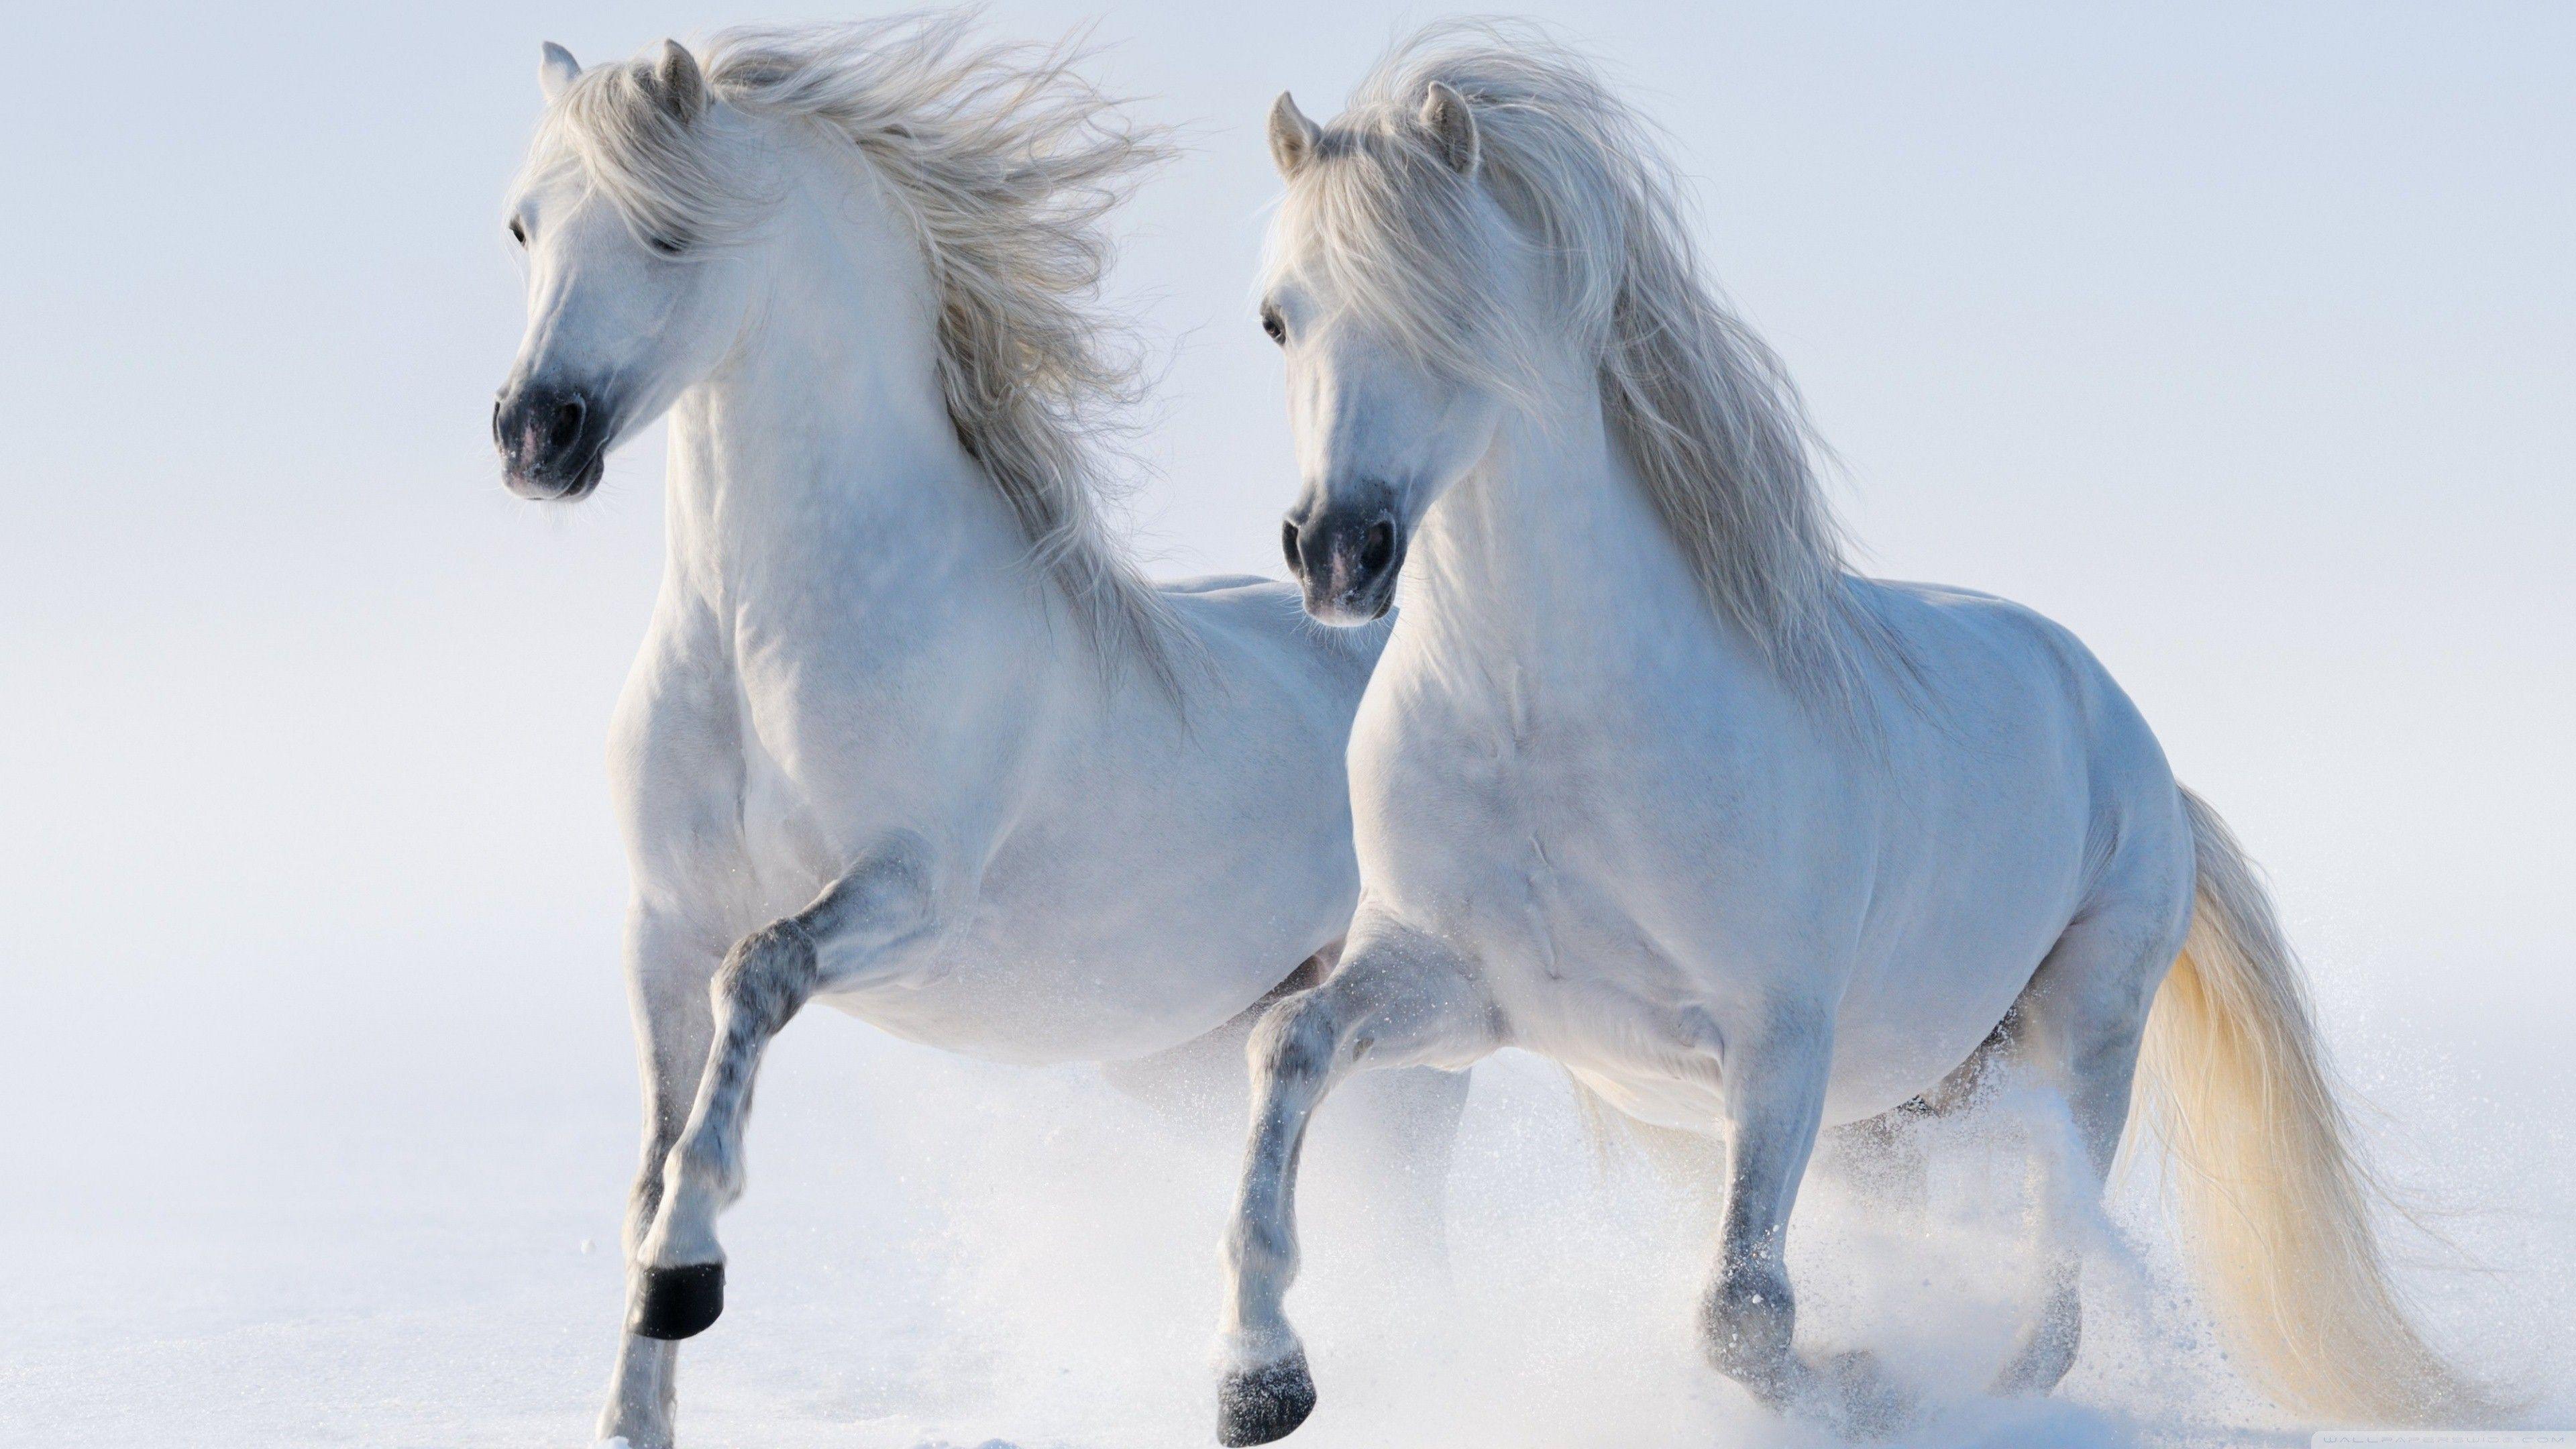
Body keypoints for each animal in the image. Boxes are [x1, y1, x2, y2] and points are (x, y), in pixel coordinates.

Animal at [489, 20, 1468, 1448]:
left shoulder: (907, 896)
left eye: (667, 233)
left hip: (1412, 1046)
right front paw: (634, 1406)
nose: (534, 436)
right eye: (524, 226)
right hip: (1187, 1058)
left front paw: (688, 1276)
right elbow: (652, 1156)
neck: (760, 639)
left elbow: (756, 984)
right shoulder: (660, 924)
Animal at [1211, 21, 2491, 1444]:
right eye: (1278, 317)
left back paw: (1975, 1392)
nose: (1339, 551)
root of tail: (2135, 744)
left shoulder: (1777, 1041)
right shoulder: (1456, 990)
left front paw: (1867, 1382)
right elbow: (1286, 1044)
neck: (1543, 722)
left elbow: (1744, 1314)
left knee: (2051, 1307)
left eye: (1450, 309)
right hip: (1896, 1113)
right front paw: (1259, 1380)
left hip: (2076, 1042)